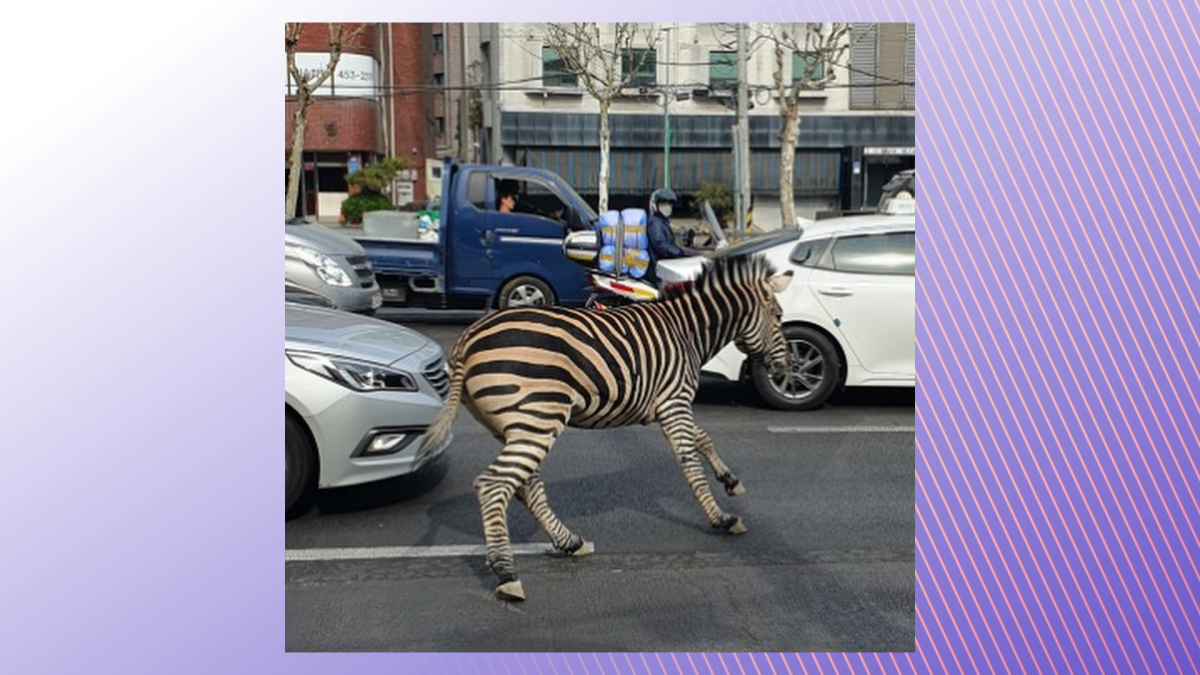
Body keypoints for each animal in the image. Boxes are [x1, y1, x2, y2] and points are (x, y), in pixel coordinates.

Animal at [420, 254, 793, 601]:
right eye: (778, 316)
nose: (784, 369)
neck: (686, 332)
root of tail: (467, 339)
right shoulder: (674, 402)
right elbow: (689, 462)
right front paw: (722, 518)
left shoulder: (671, 405)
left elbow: (704, 438)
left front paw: (730, 481)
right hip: (538, 417)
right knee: (494, 484)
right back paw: (506, 573)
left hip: (516, 424)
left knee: (525, 485)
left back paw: (569, 542)